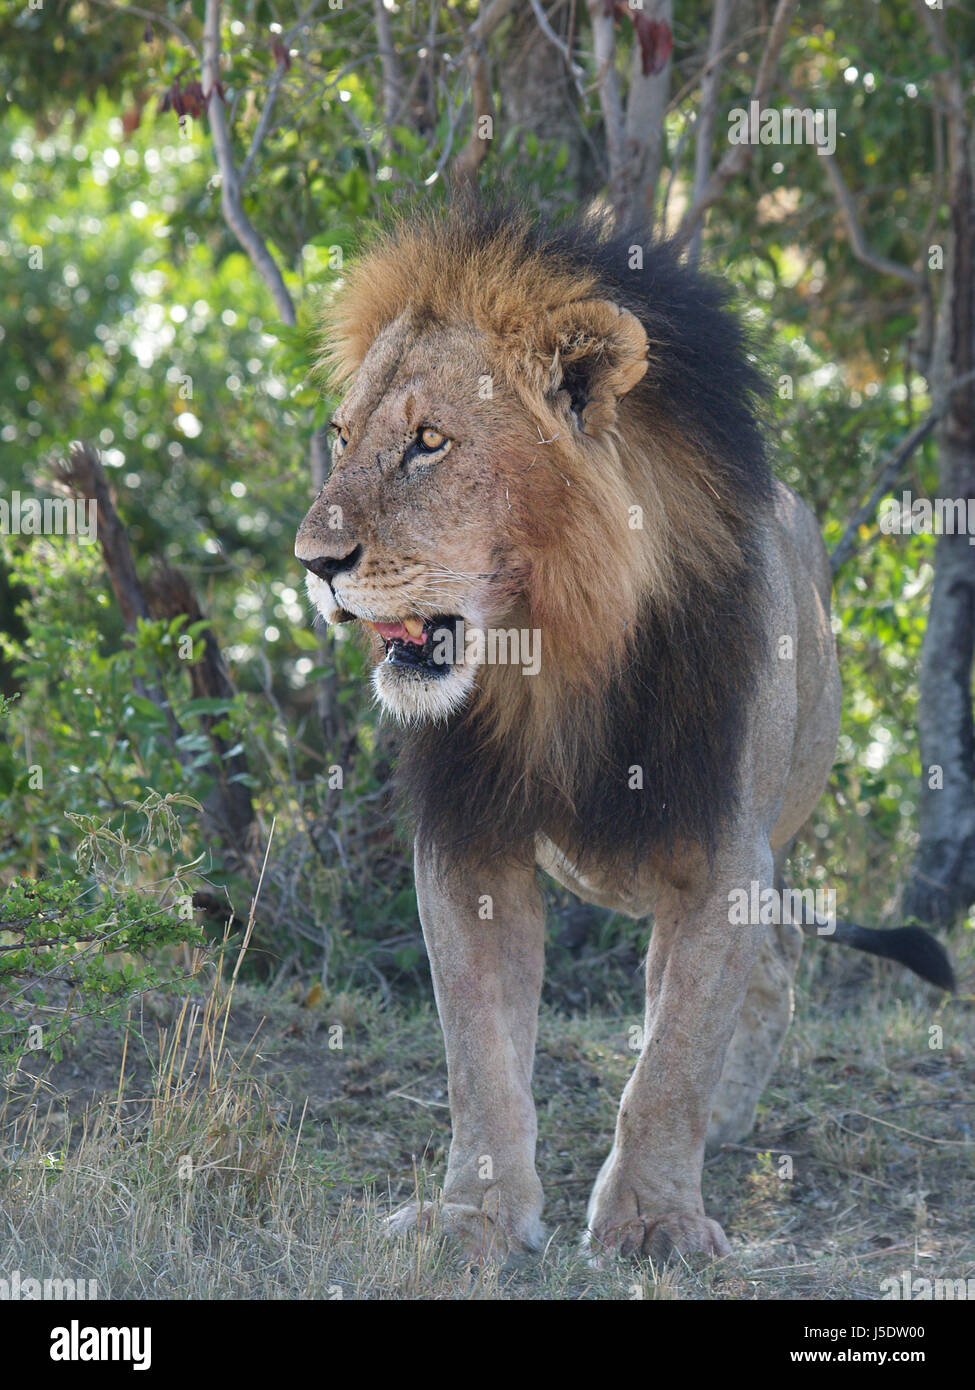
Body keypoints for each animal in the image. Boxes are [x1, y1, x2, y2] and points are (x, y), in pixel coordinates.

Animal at [295, 201, 954, 1263]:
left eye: (430, 441)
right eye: (343, 435)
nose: (313, 562)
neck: (555, 656)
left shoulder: (721, 851)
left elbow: (674, 1054)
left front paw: (653, 1220)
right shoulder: (466, 847)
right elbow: (478, 1057)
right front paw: (474, 1217)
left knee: (767, 959)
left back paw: (723, 1119)